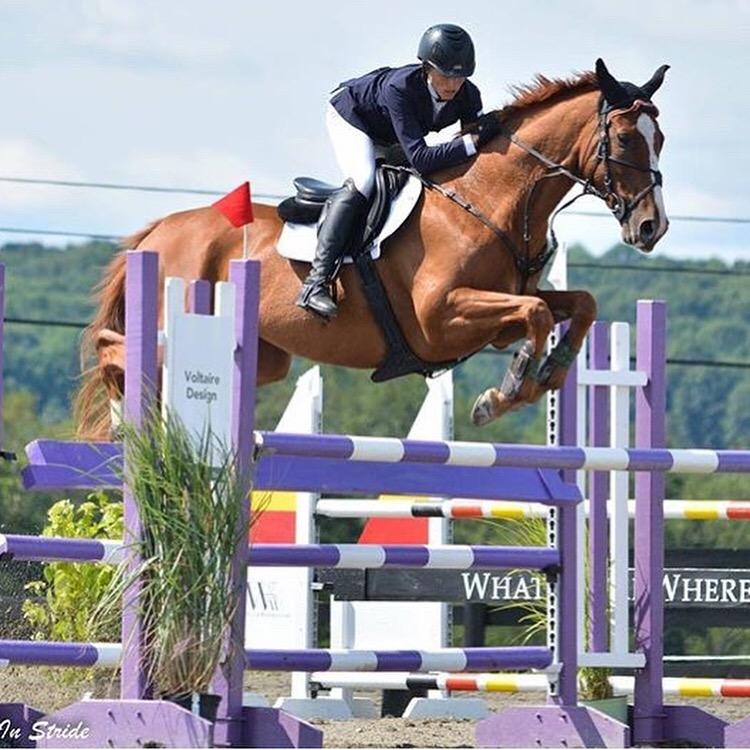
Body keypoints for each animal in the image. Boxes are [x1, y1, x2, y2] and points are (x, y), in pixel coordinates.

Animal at [75, 58, 669, 439]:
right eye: (624, 139)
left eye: (659, 139)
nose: (651, 228)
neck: (489, 201)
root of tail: (160, 230)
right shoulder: (441, 318)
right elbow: (538, 314)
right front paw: (504, 393)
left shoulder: (498, 312)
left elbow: (576, 305)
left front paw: (547, 376)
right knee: (114, 349)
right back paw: (125, 420)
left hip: (265, 357)